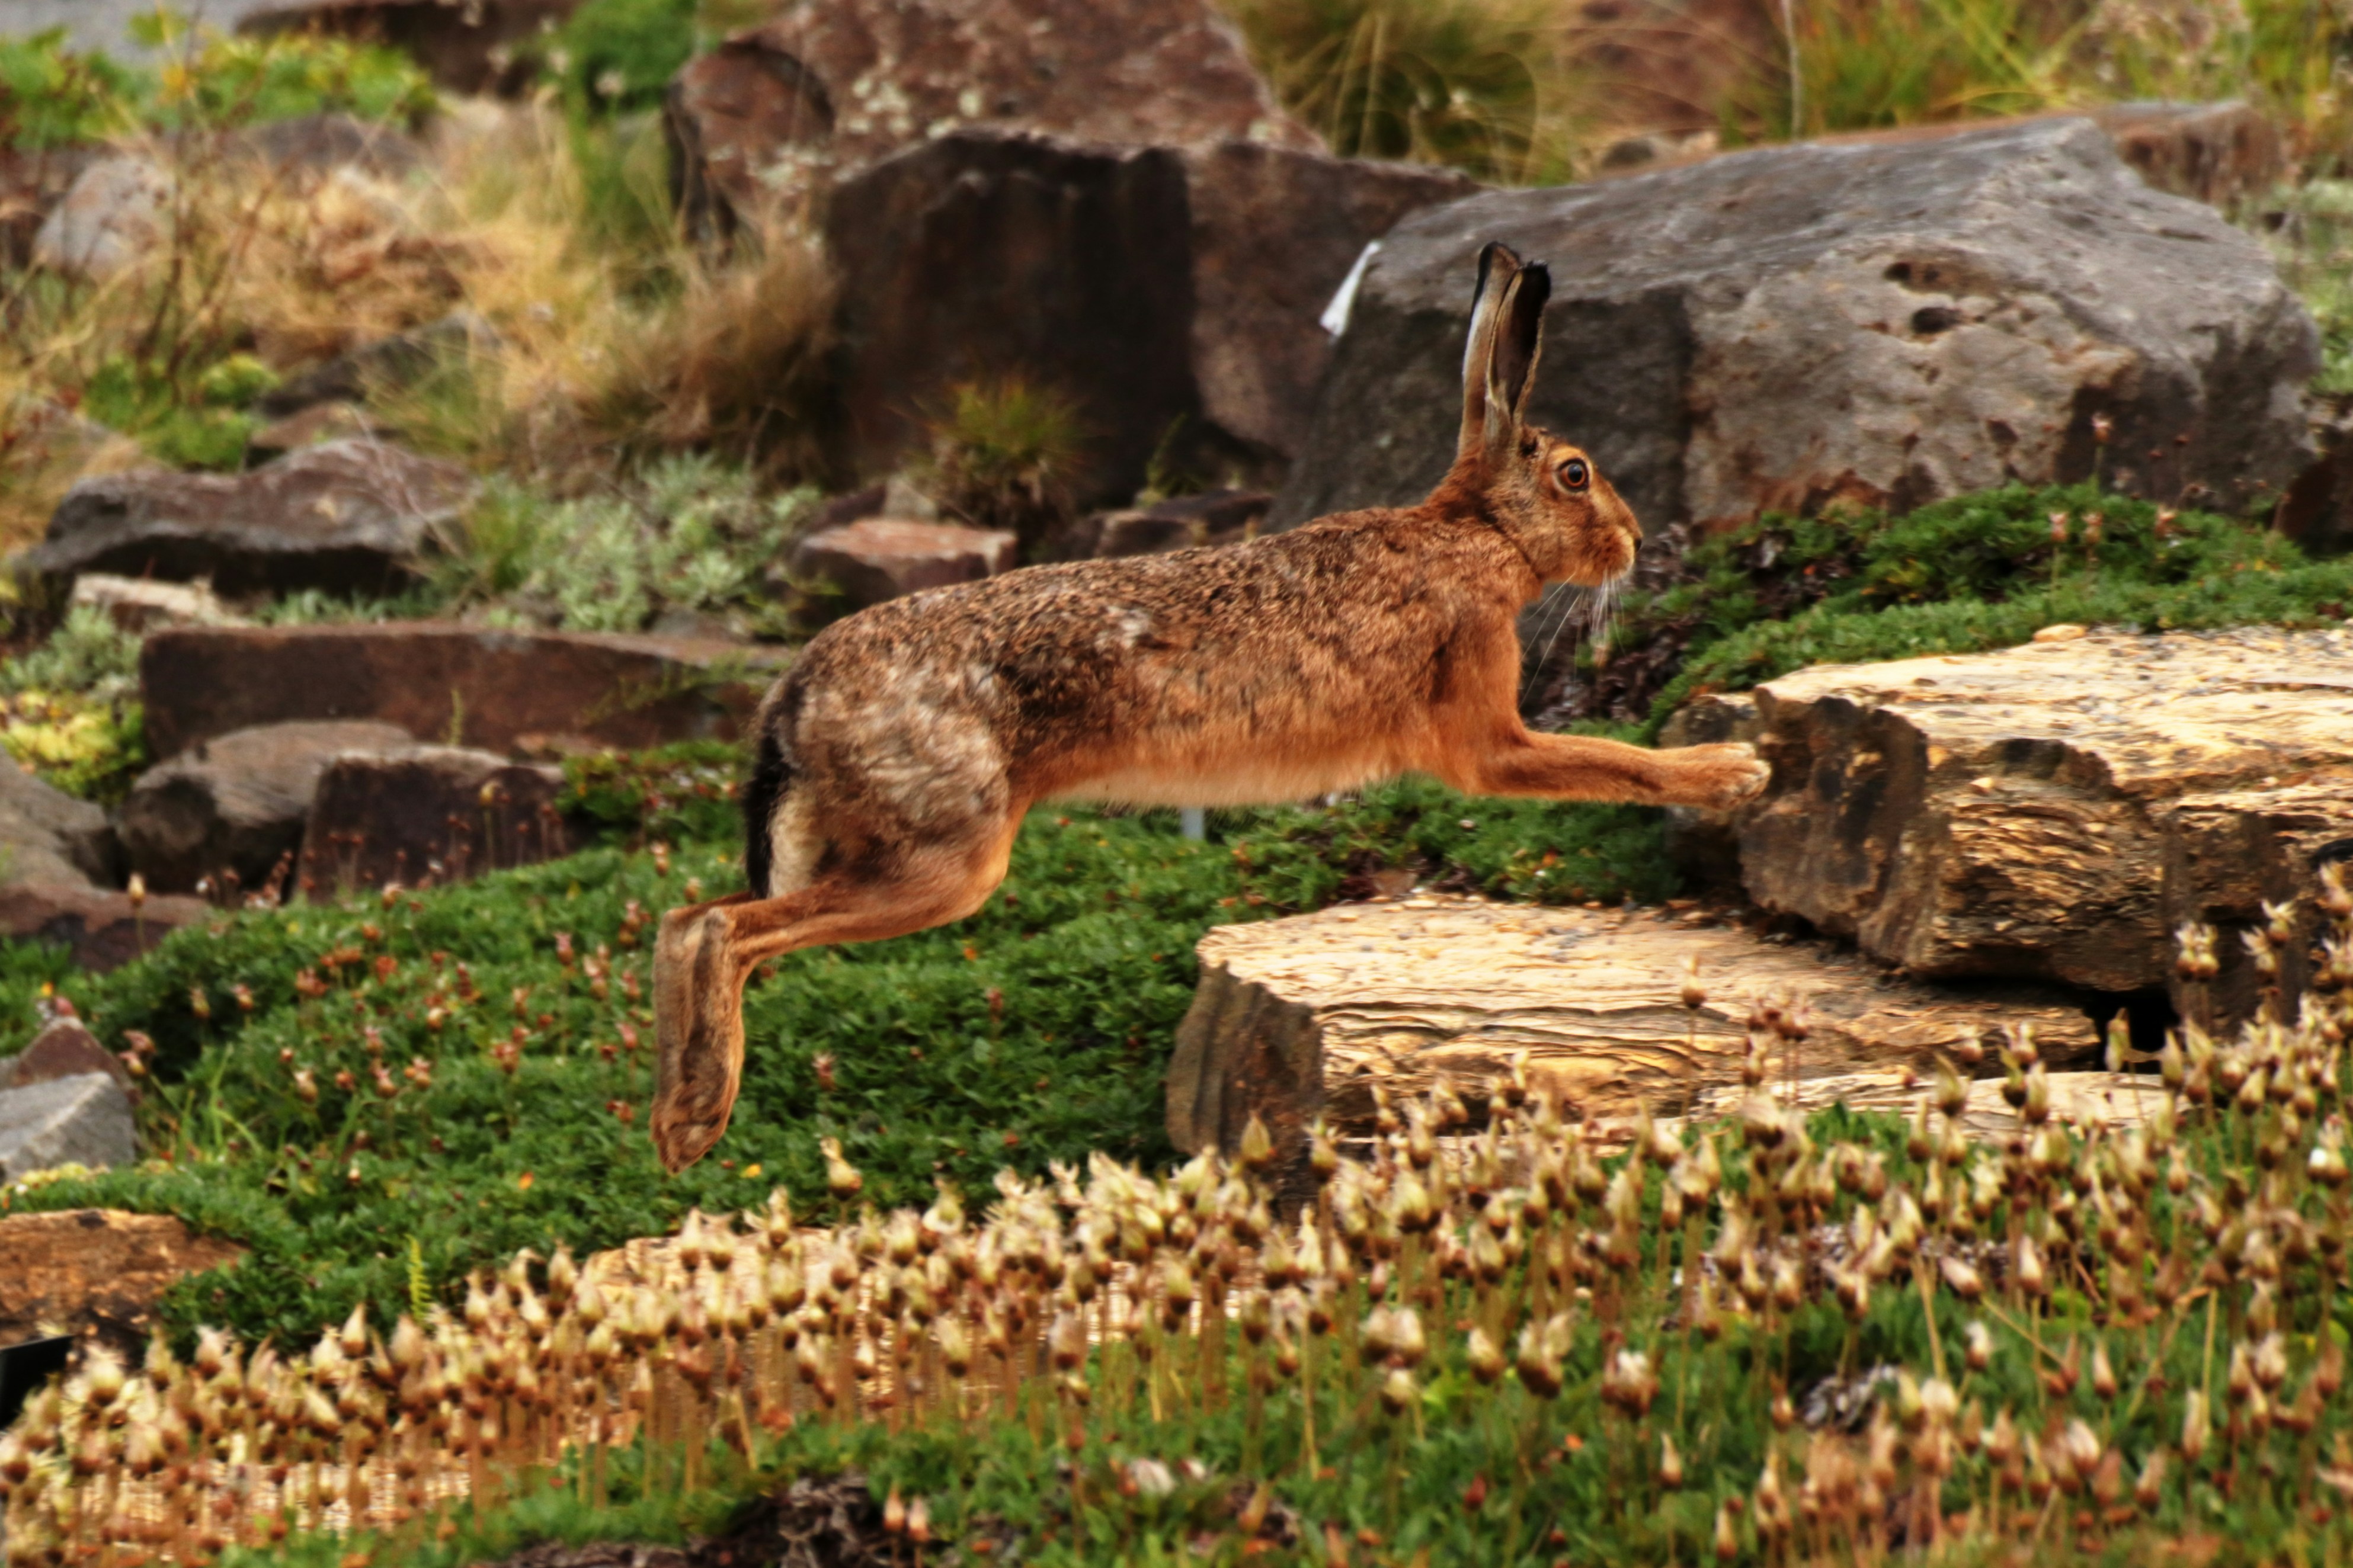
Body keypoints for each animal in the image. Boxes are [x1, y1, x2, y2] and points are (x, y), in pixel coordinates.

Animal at [650, 241, 1768, 1173]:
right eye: (1575, 475)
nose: (1633, 541)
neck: (1478, 535)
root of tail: (796, 693)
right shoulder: (1483, 728)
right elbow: (1606, 759)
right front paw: (1734, 773)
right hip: (944, 856)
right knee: (726, 930)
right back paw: (700, 1119)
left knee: (685, 917)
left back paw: (671, 1121)